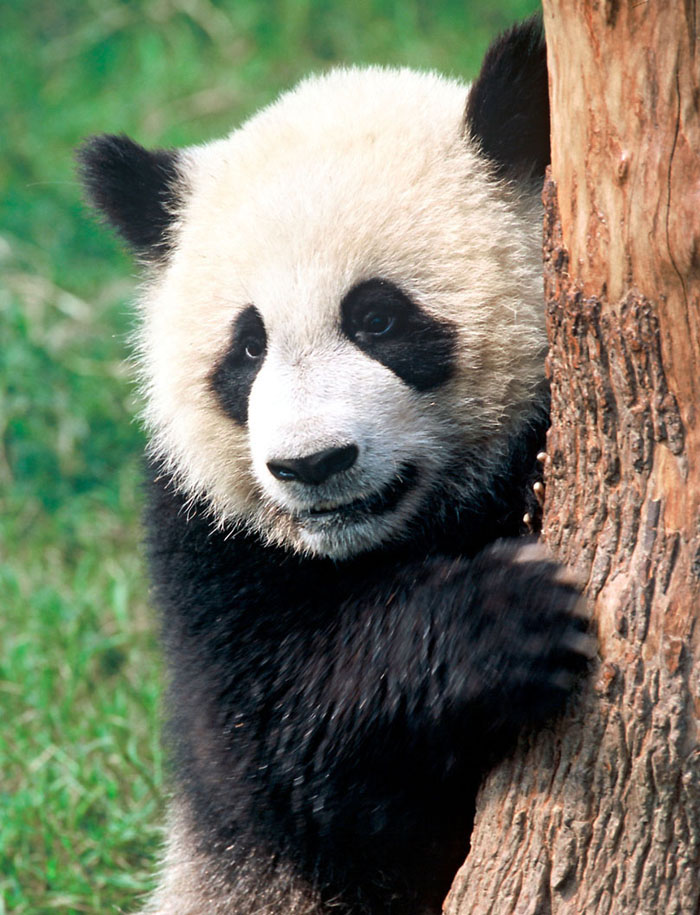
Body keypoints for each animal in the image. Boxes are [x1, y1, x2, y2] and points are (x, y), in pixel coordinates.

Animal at [79, 17, 591, 915]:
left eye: (378, 319)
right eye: (247, 347)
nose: (313, 464)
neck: (365, 547)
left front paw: (528, 492)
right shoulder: (203, 543)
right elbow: (281, 746)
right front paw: (507, 616)